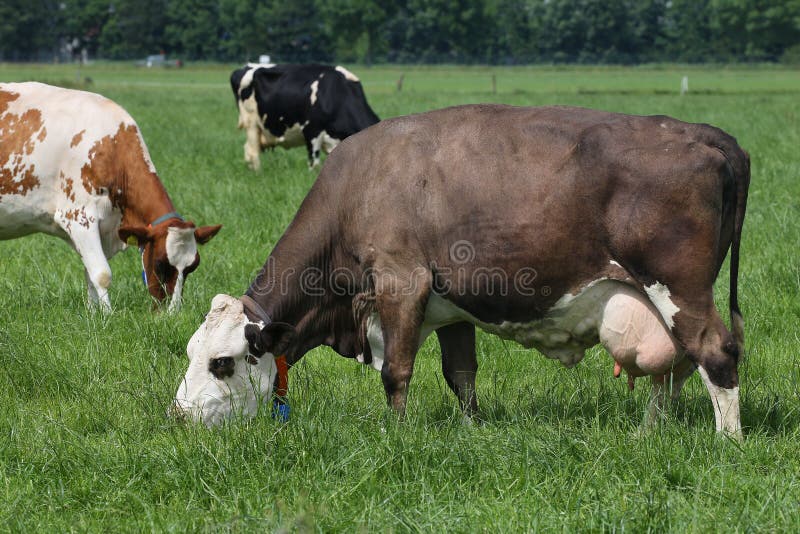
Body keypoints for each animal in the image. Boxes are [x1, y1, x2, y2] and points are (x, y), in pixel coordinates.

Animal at [0, 82, 222, 312]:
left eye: (191, 267)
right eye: (160, 264)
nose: (172, 314)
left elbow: (89, 274)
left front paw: (92, 313)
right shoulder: (78, 217)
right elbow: (101, 274)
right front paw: (107, 315)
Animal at [173, 104, 750, 439]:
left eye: (222, 362)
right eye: (190, 352)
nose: (178, 416)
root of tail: (703, 133)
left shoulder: (401, 285)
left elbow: (395, 371)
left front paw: (396, 437)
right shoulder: (450, 307)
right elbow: (461, 375)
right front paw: (473, 431)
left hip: (679, 288)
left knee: (715, 352)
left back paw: (727, 442)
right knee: (675, 365)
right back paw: (648, 434)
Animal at [230, 63, 379, 171]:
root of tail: (245, 67)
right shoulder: (312, 131)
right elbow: (314, 164)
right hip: (251, 123)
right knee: (252, 151)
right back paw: (258, 172)